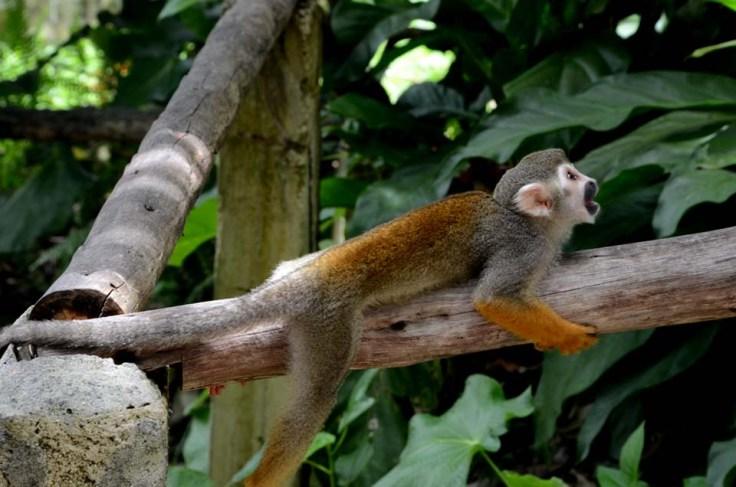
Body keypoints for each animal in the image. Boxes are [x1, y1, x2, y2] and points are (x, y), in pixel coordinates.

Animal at [0, 148, 599, 487]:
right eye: (571, 176)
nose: (594, 185)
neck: (523, 220)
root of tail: (312, 276)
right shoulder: (520, 249)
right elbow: (493, 300)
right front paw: (572, 339)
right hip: (328, 323)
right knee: (313, 403)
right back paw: (259, 482)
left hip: (303, 278)